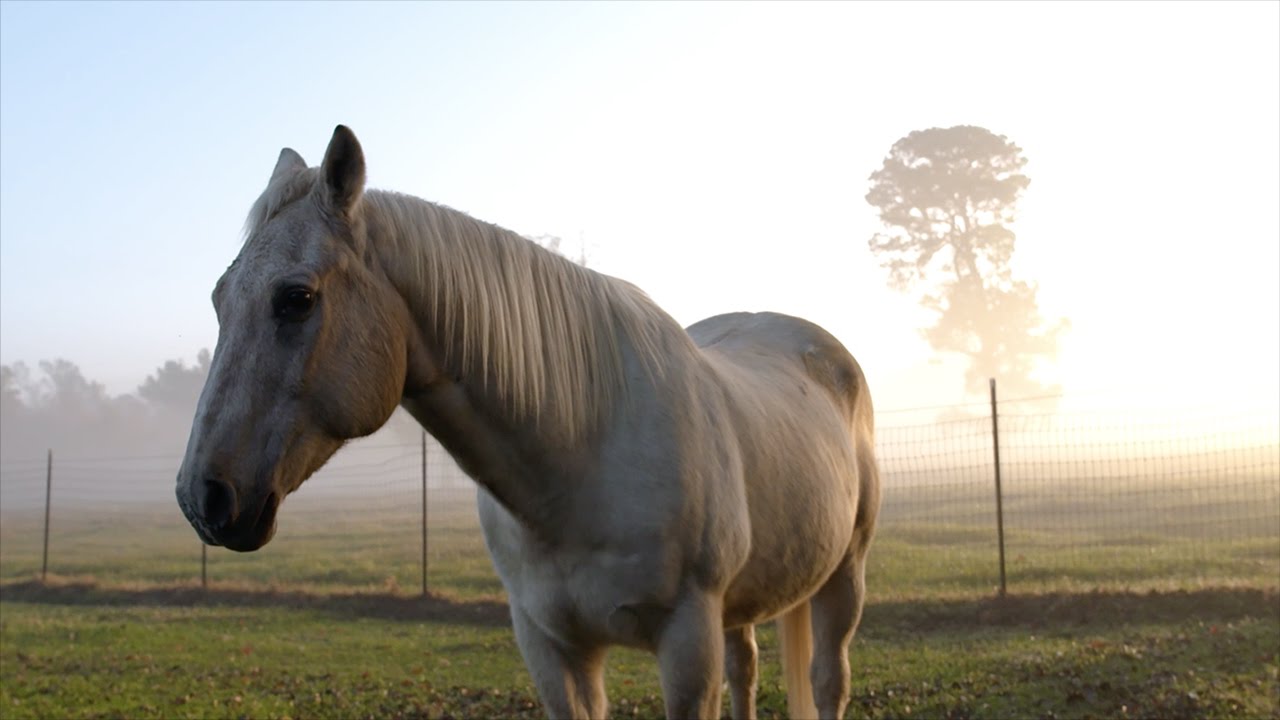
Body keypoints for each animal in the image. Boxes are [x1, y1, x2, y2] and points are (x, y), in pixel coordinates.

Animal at [175, 125, 881, 720]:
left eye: (296, 299)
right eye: (218, 298)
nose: (202, 496)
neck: (580, 462)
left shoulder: (687, 647)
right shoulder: (552, 650)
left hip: (843, 576)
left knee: (828, 679)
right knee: (747, 672)